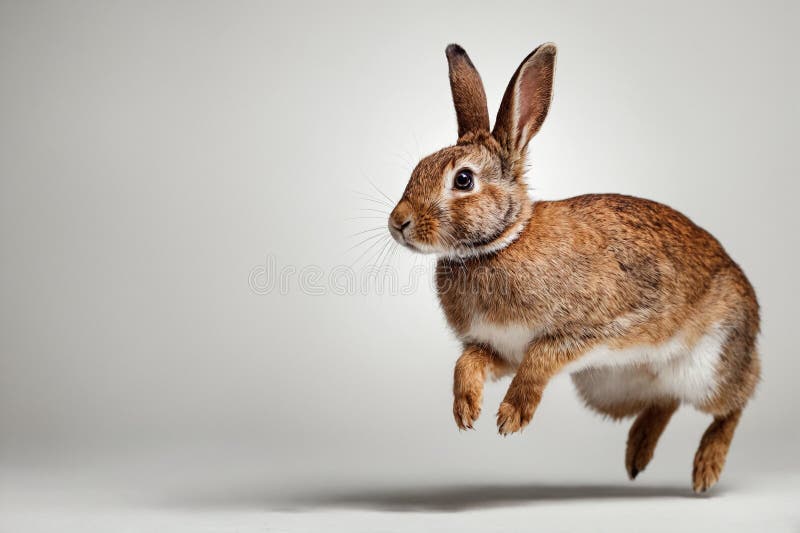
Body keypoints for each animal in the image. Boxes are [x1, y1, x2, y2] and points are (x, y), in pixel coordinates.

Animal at [387, 43, 760, 493]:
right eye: (418, 167)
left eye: (463, 180)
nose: (398, 222)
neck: (500, 243)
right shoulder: (501, 348)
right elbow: (468, 363)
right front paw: (466, 410)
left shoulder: (594, 326)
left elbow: (541, 358)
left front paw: (511, 417)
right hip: (609, 389)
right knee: (665, 400)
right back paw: (637, 455)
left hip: (710, 364)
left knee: (735, 402)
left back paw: (705, 469)